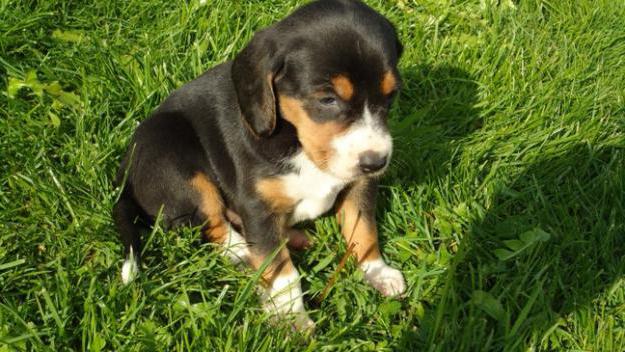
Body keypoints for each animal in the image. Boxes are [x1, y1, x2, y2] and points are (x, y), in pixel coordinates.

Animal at [112, 0, 404, 330]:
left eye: (391, 95)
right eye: (327, 99)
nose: (376, 161)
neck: (297, 140)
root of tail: (125, 172)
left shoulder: (359, 186)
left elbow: (363, 230)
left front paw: (378, 272)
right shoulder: (257, 206)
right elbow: (282, 271)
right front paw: (292, 319)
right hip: (175, 163)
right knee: (213, 225)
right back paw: (243, 253)